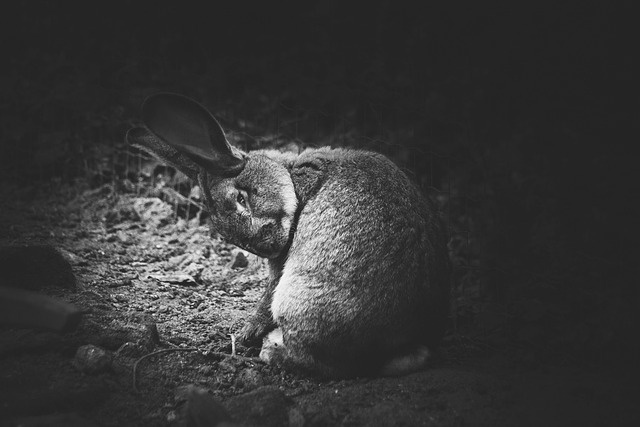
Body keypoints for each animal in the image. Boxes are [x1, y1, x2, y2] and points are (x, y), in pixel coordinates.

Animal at [127, 93, 450, 378]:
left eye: (241, 198)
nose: (266, 246)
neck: (291, 176)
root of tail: (396, 348)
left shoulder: (279, 269)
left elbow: (265, 300)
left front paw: (245, 336)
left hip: (294, 302)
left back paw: (270, 350)